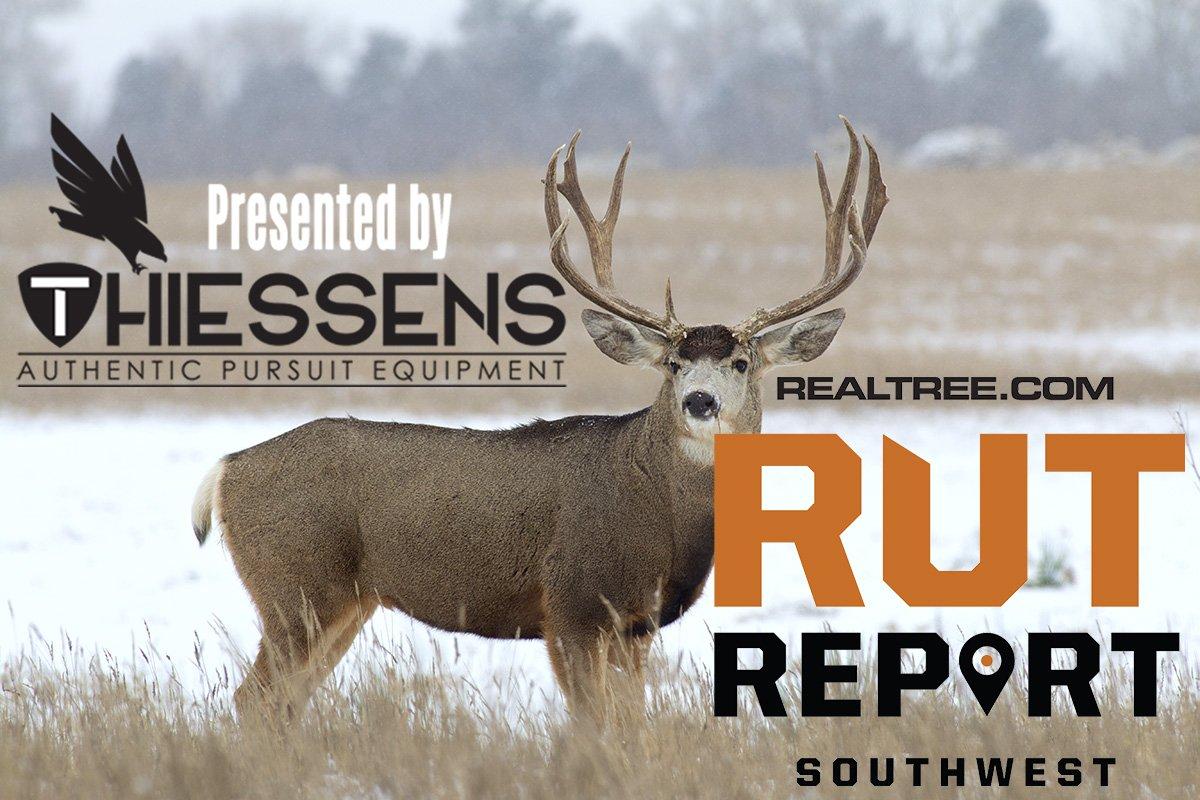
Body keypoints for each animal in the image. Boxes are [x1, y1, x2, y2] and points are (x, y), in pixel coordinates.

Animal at [190, 117, 887, 722]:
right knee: (254, 700)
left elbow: (633, 724)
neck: (659, 515)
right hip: (296, 588)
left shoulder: (634, 626)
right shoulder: (571, 606)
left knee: (283, 703)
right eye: (673, 364)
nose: (699, 402)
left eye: (741, 361)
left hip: (343, 603)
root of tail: (227, 468)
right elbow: (594, 726)